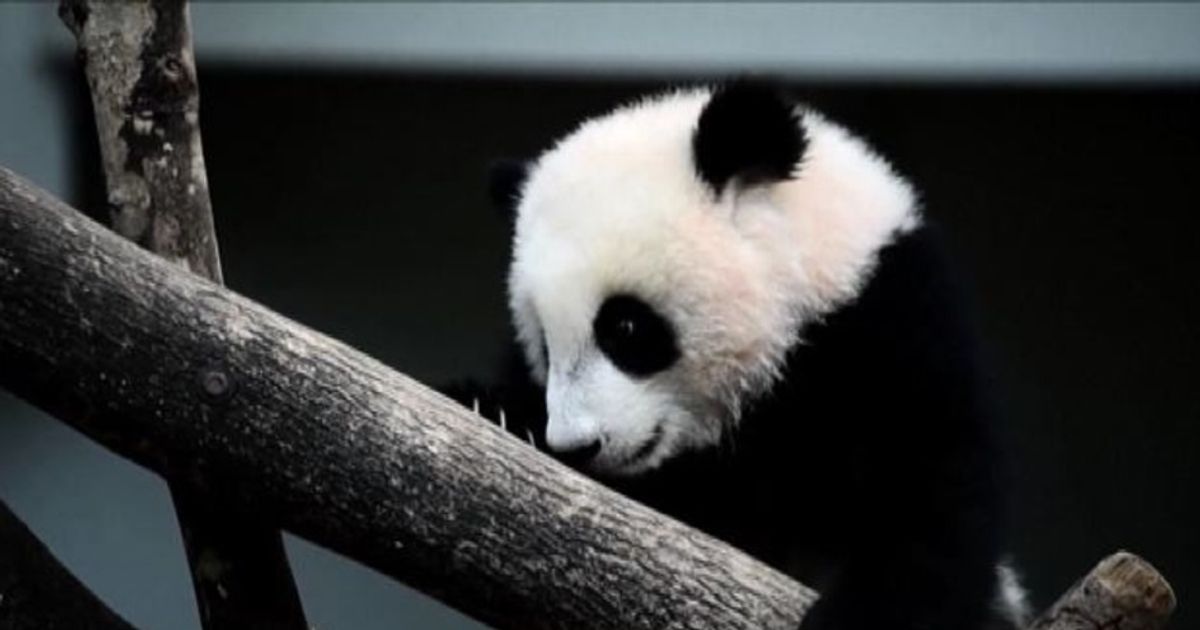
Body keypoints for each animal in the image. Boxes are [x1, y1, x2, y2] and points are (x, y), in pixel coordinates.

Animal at [449, 81, 1030, 630]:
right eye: (545, 346)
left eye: (625, 327)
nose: (576, 446)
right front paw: (494, 409)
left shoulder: (889, 319)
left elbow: (935, 482)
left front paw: (867, 615)